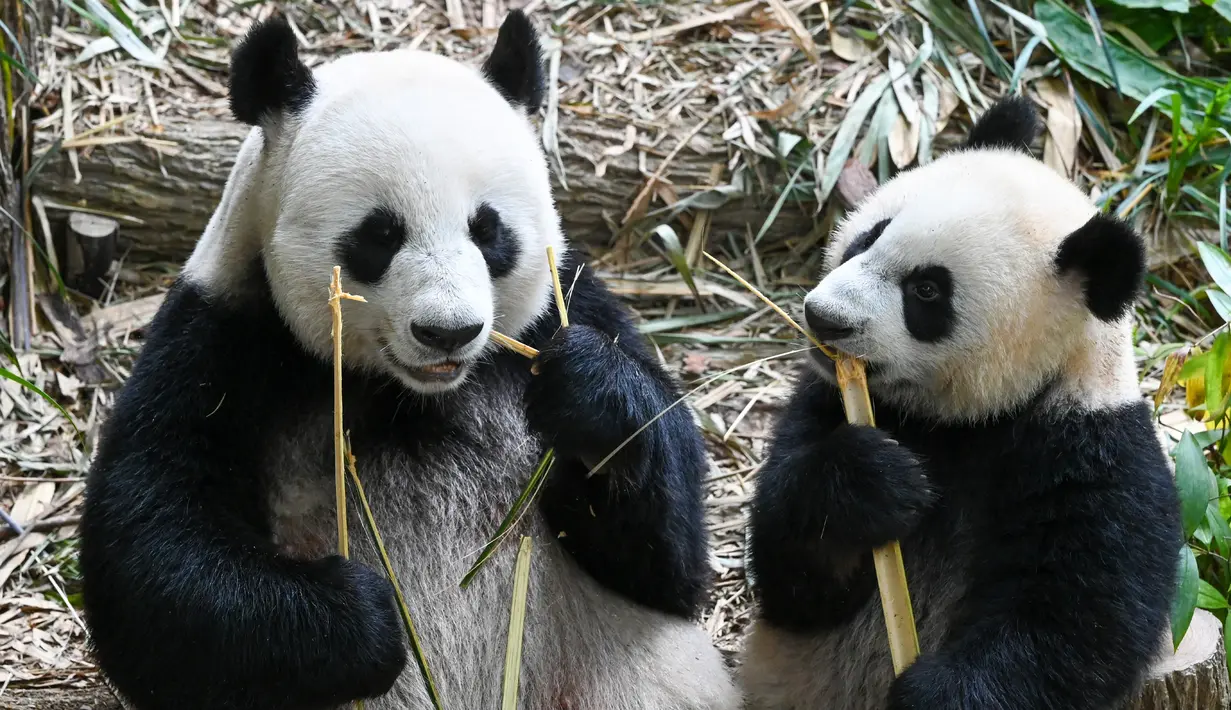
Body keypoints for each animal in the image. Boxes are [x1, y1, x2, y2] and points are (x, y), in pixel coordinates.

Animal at [78, 12, 740, 710]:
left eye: (488, 229)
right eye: (380, 235)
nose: (448, 332)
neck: (414, 393)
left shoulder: (571, 301)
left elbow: (671, 560)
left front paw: (590, 395)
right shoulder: (219, 339)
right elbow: (154, 557)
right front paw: (363, 614)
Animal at [737, 96, 1183, 710]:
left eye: (927, 291)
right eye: (868, 237)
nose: (824, 318)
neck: (965, 420)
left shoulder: (1091, 451)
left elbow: (1076, 621)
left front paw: (929, 695)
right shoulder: (825, 403)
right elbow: (792, 577)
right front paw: (871, 482)